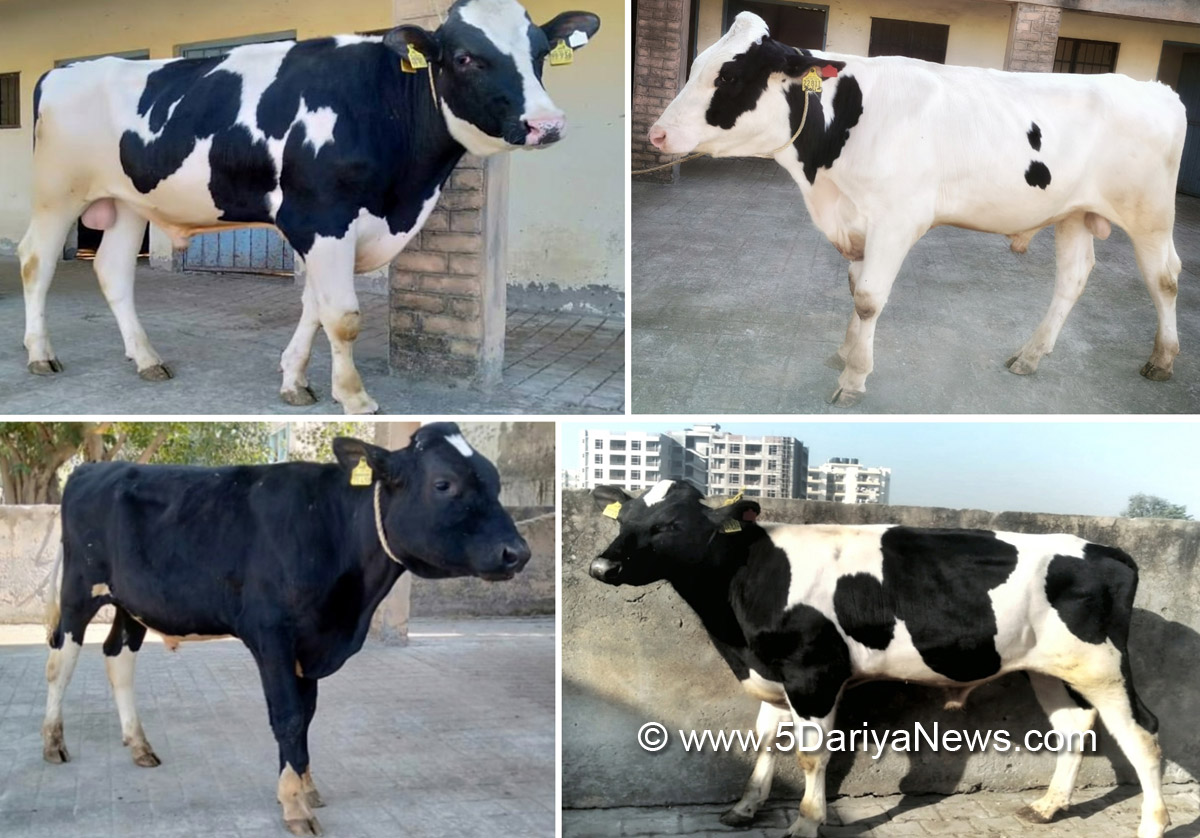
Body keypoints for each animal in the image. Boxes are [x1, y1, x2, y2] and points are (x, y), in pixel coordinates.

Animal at [19, 0, 600, 414]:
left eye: (540, 53)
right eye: (465, 58)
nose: (547, 124)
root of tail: (63, 71)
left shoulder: (326, 227)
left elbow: (313, 308)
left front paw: (295, 380)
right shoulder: (319, 217)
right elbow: (341, 316)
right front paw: (355, 396)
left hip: (128, 201)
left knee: (114, 270)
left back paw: (146, 359)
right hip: (56, 193)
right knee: (35, 261)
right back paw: (41, 354)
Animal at [42, 423, 531, 836]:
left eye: (495, 482)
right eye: (443, 484)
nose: (518, 552)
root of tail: (93, 467)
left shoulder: (312, 642)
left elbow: (307, 715)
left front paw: (307, 786)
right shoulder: (272, 635)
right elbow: (289, 716)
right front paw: (294, 804)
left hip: (133, 603)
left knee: (118, 657)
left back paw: (139, 745)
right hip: (79, 590)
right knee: (60, 661)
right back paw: (53, 743)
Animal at [588, 480, 1168, 838]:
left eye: (669, 525)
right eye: (626, 518)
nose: (600, 566)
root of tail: (1107, 549)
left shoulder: (814, 672)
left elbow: (811, 756)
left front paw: (806, 822)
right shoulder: (774, 673)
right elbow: (766, 743)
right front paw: (744, 808)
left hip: (1103, 666)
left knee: (1142, 733)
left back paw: (1151, 824)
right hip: (1049, 669)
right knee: (1074, 726)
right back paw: (1048, 807)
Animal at [646, 13, 1185, 407]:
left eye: (729, 74)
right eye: (696, 64)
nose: (656, 133)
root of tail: (1157, 89)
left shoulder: (895, 220)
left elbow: (868, 299)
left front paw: (854, 378)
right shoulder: (857, 219)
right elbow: (854, 290)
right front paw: (845, 352)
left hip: (1150, 215)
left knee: (1164, 278)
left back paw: (1163, 360)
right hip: (1073, 213)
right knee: (1073, 278)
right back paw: (1030, 356)